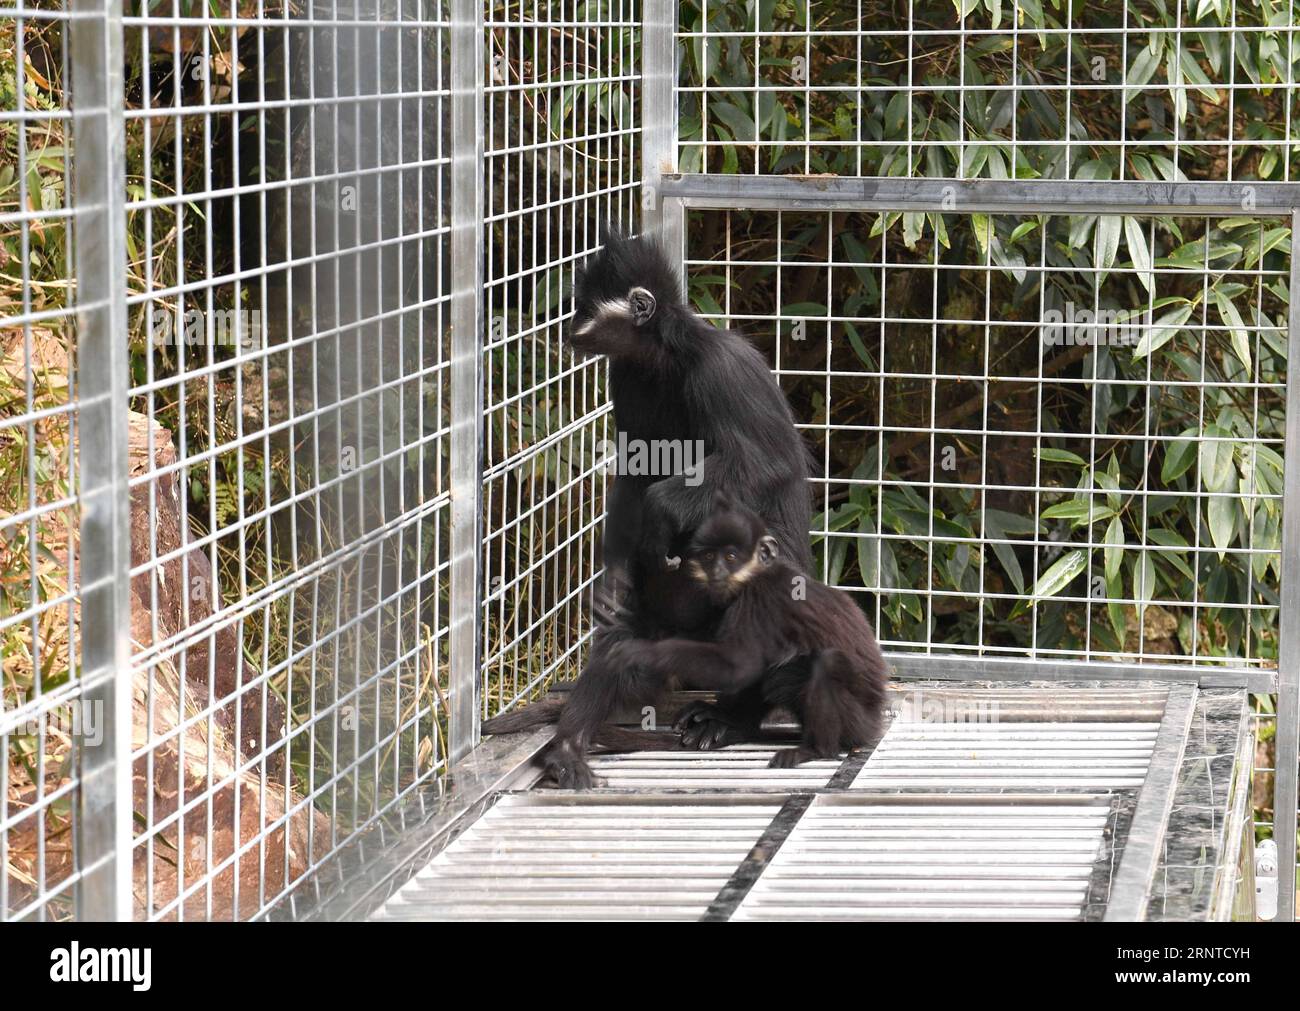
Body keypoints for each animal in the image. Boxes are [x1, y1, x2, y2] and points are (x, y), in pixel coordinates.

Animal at [481, 227, 814, 788]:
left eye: (584, 309)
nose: (568, 328)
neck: (668, 360)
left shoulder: (723, 369)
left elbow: (764, 464)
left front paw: (664, 508)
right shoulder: (628, 374)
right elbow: (637, 471)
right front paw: (612, 579)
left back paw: (732, 719)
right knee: (627, 635)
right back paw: (570, 744)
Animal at [601, 499, 889, 768]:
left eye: (730, 557)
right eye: (708, 557)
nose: (717, 572)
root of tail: (873, 723)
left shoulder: (757, 599)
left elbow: (739, 665)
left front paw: (644, 653)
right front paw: (722, 715)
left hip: (856, 720)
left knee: (822, 664)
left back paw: (818, 750)